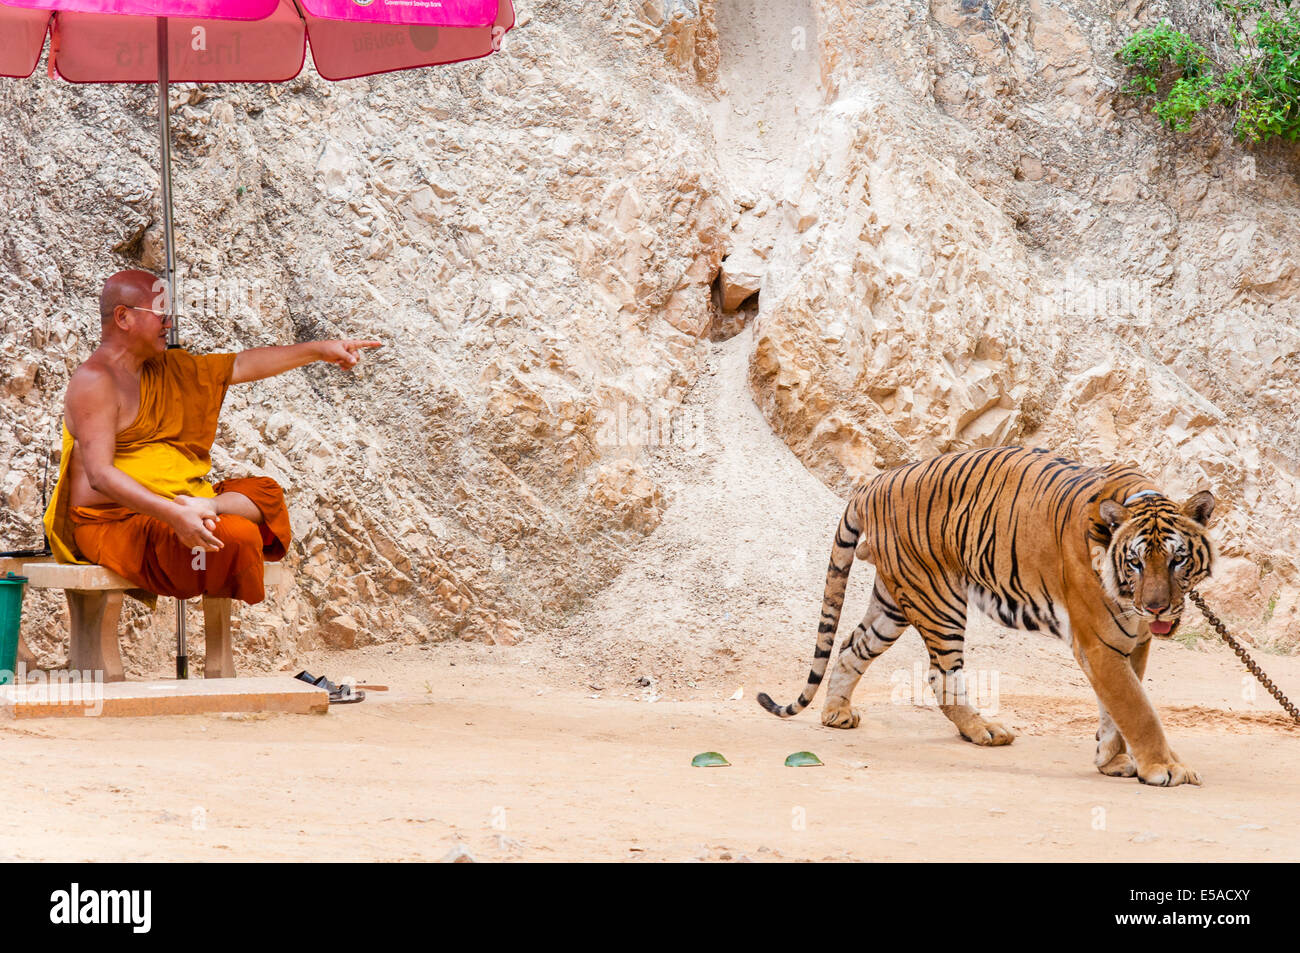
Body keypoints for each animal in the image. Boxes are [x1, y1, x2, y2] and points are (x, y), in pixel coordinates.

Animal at [758, 446, 1216, 787]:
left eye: (1177, 559)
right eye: (1136, 563)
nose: (1156, 607)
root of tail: (874, 482)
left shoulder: (1133, 642)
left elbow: (1118, 708)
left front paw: (1113, 760)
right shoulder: (1099, 642)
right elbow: (1137, 709)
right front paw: (1165, 768)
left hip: (892, 604)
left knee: (853, 646)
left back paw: (836, 714)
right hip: (937, 598)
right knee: (940, 674)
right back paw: (982, 731)